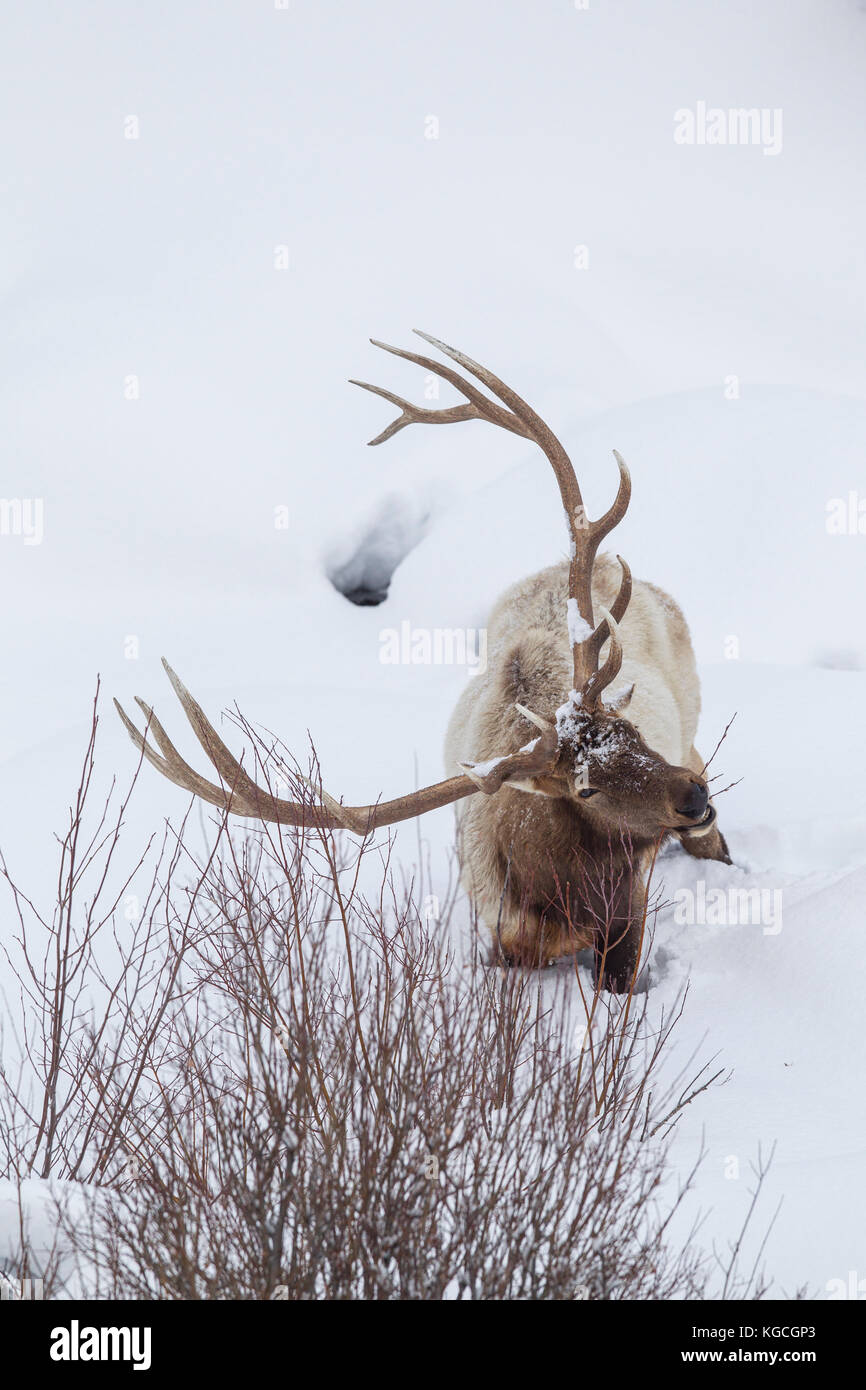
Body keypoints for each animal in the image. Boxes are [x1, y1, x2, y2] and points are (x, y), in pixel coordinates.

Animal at [116, 331, 731, 992]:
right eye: (584, 788)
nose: (691, 797)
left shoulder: (628, 910)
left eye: (630, 730)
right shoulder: (505, 938)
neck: (556, 892)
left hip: (693, 730)